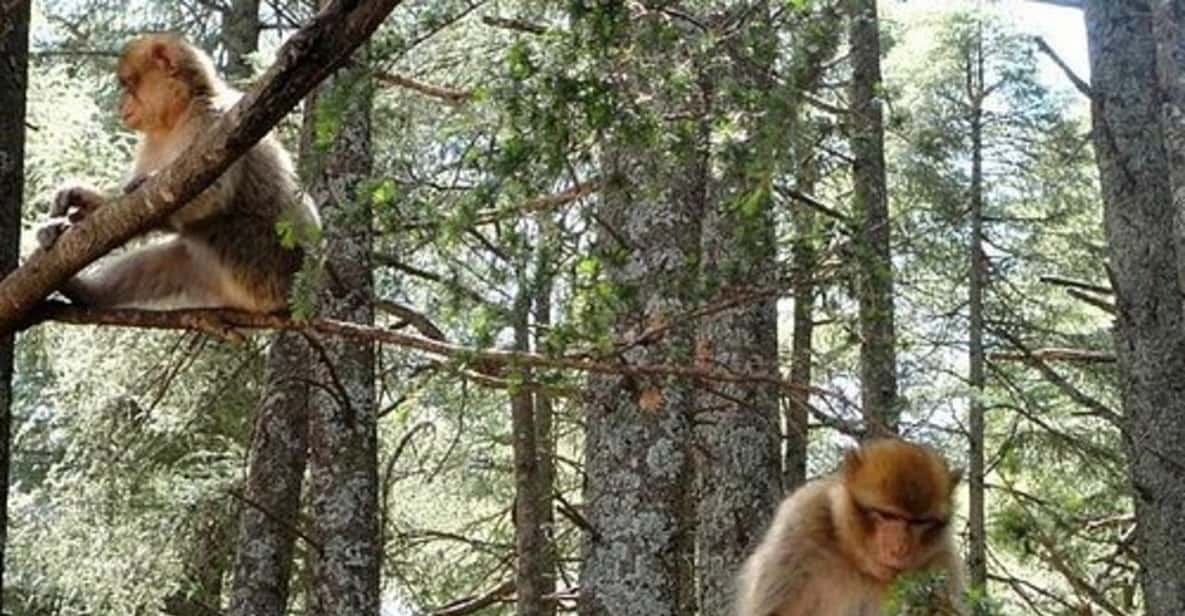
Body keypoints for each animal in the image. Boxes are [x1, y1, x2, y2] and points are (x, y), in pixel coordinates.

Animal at [36, 33, 320, 312]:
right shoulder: (152, 142)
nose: (120, 104)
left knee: (216, 226)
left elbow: (211, 194)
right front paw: (82, 201)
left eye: (128, 84)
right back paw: (86, 294)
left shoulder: (210, 118)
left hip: (266, 265)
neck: (176, 118)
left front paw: (139, 186)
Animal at [735, 439, 965, 616]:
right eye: (887, 515)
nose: (900, 548)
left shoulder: (942, 561)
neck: (856, 561)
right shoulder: (800, 524)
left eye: (920, 523)